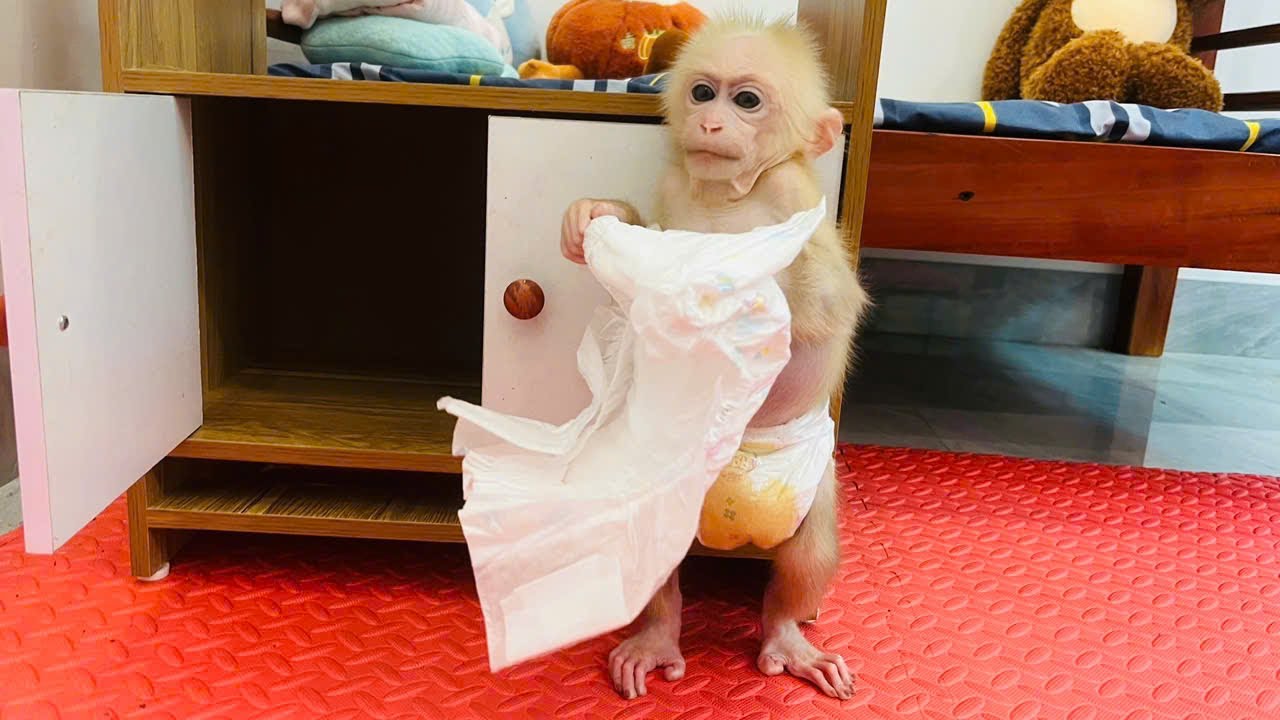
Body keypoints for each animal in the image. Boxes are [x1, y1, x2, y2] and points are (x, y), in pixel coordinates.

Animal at [560, 16, 869, 701]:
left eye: (746, 101)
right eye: (703, 92)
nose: (709, 123)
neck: (731, 197)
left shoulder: (792, 195)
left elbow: (826, 306)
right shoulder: (677, 184)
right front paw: (597, 215)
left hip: (808, 488)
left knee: (807, 554)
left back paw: (787, 635)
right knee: (654, 543)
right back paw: (657, 634)